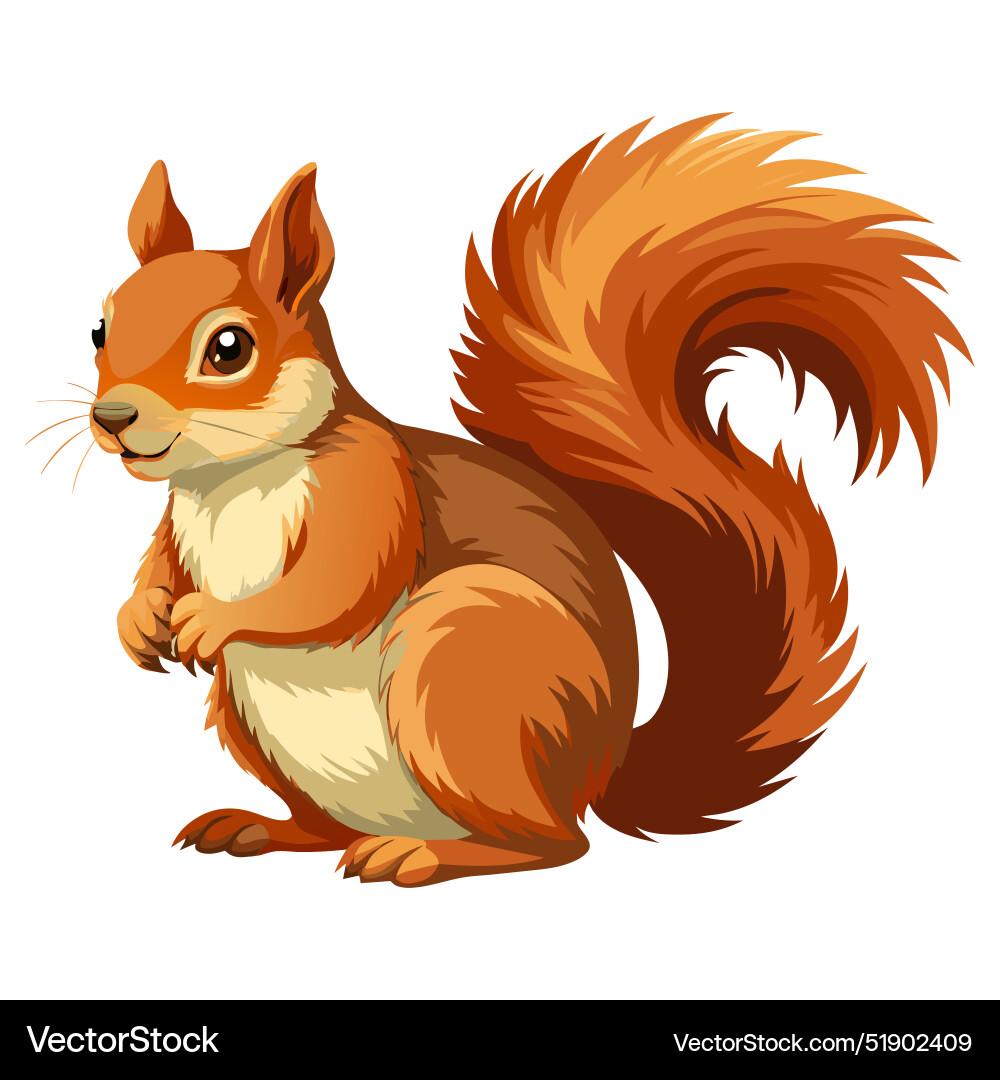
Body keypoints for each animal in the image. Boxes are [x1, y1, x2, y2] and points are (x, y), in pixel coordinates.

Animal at [87, 114, 967, 886]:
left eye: (229, 348)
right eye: (100, 328)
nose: (112, 418)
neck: (230, 478)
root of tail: (597, 775)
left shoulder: (373, 489)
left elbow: (333, 588)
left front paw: (216, 617)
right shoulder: (177, 523)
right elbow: (160, 568)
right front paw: (140, 617)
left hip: (466, 661)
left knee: (553, 845)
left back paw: (425, 855)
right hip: (254, 723)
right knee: (333, 827)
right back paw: (264, 827)